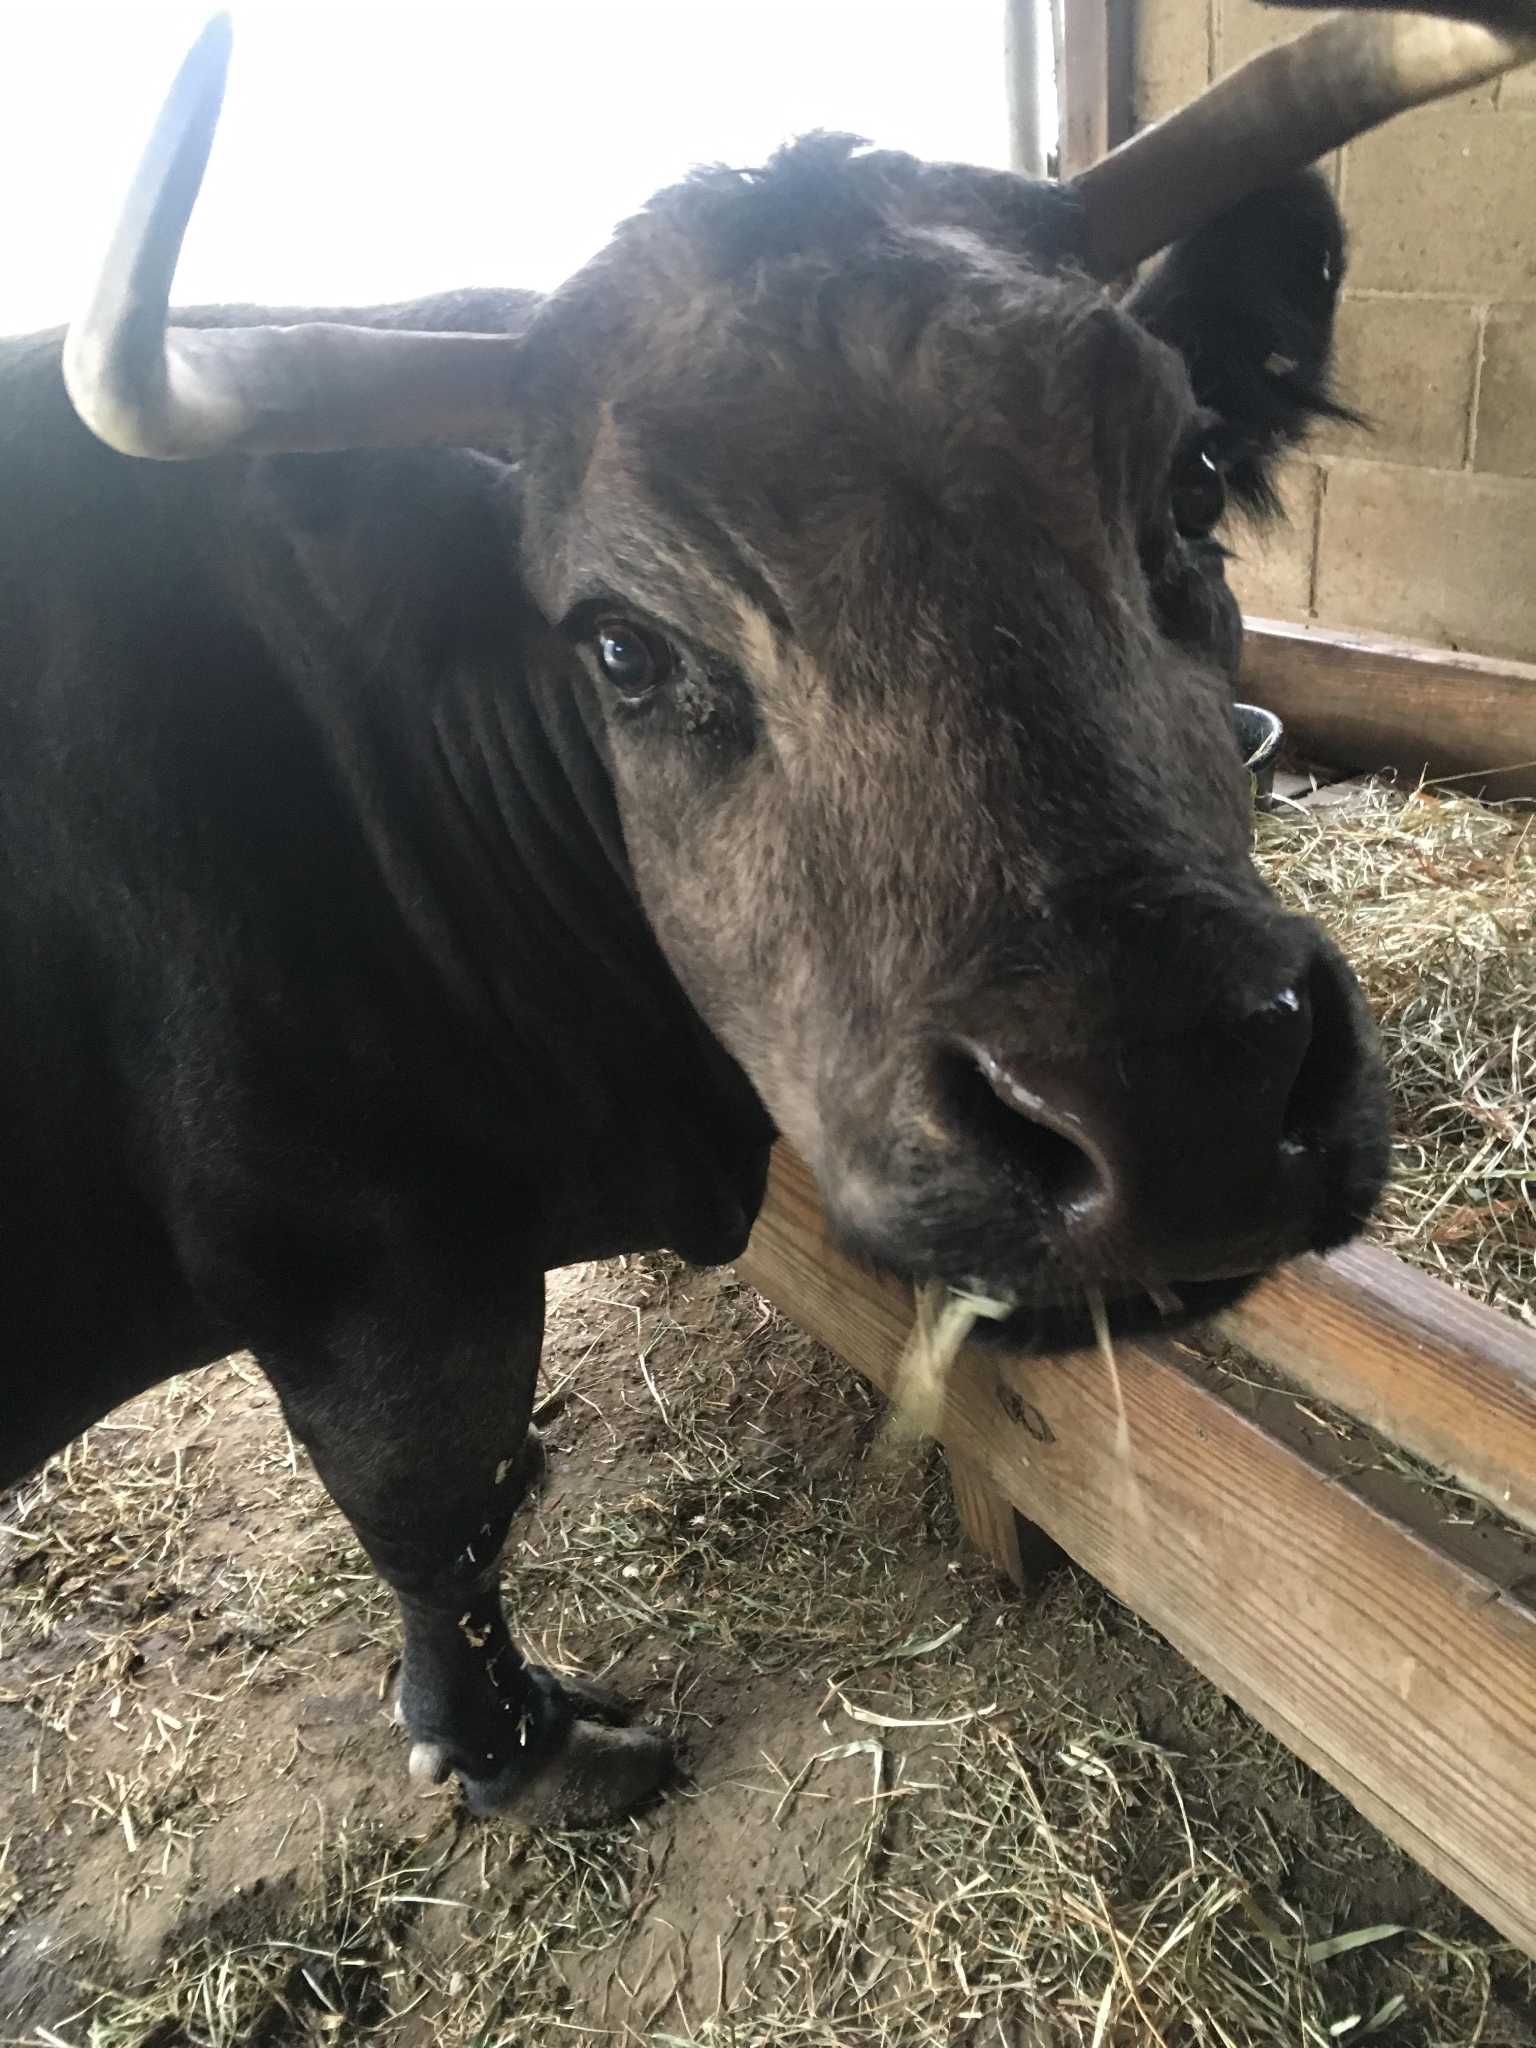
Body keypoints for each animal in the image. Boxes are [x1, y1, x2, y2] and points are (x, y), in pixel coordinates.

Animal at [3, 1, 1531, 1828]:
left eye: (1193, 482)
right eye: (618, 645)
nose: (1182, 1099)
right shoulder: (363, 1264)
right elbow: (433, 1508)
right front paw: (519, 1750)